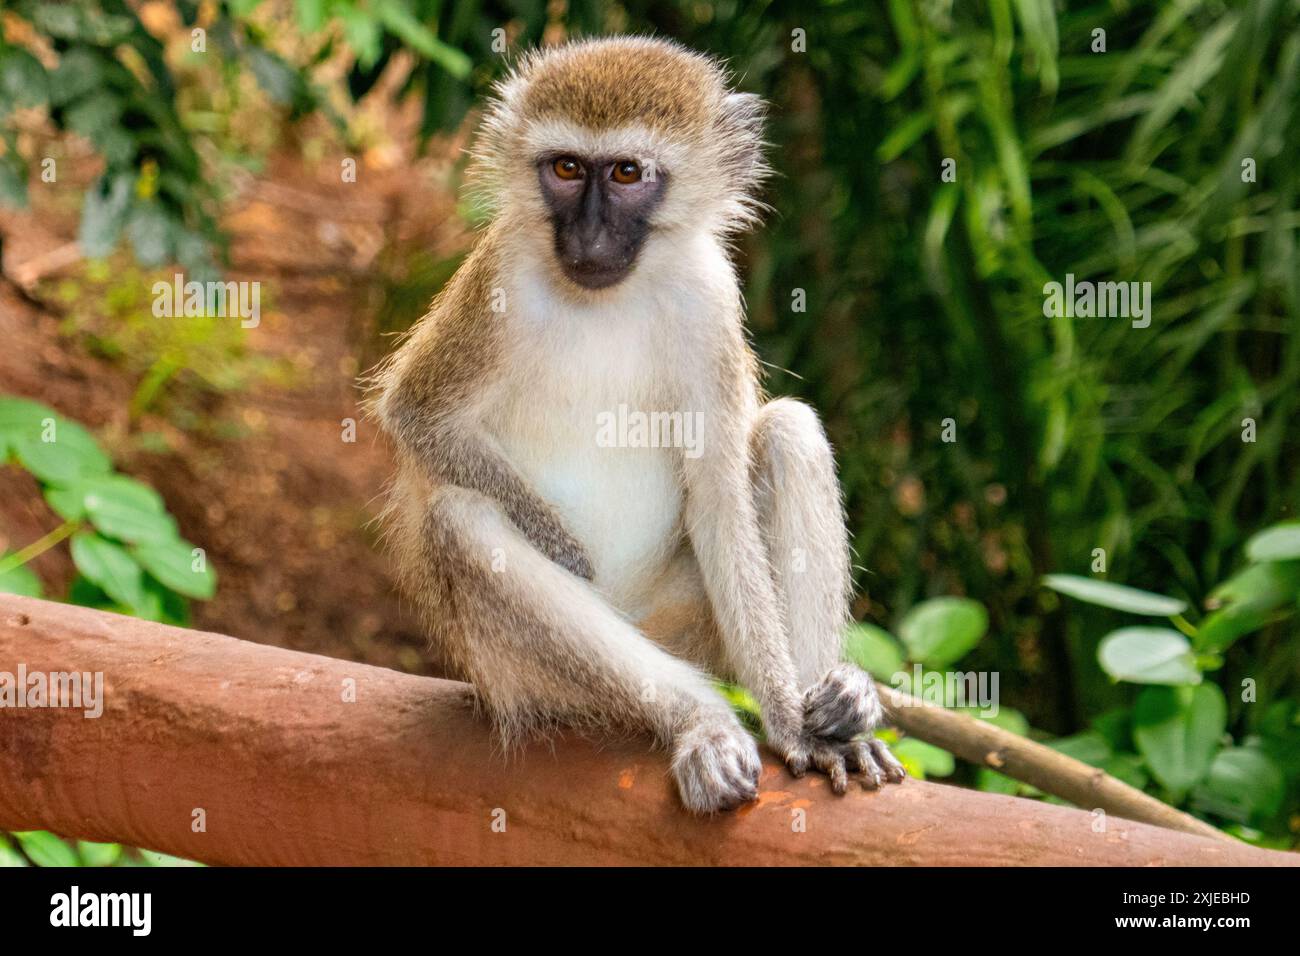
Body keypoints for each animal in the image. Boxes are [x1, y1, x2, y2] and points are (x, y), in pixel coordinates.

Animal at [371, 36, 905, 813]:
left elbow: (718, 497)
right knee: (463, 524)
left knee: (788, 434)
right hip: (521, 676)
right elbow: (418, 417)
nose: (589, 234)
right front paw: (563, 551)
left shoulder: (710, 294)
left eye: (626, 173)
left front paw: (788, 717)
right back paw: (699, 719)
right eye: (566, 168)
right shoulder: (499, 274)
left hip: (687, 626)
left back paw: (828, 709)